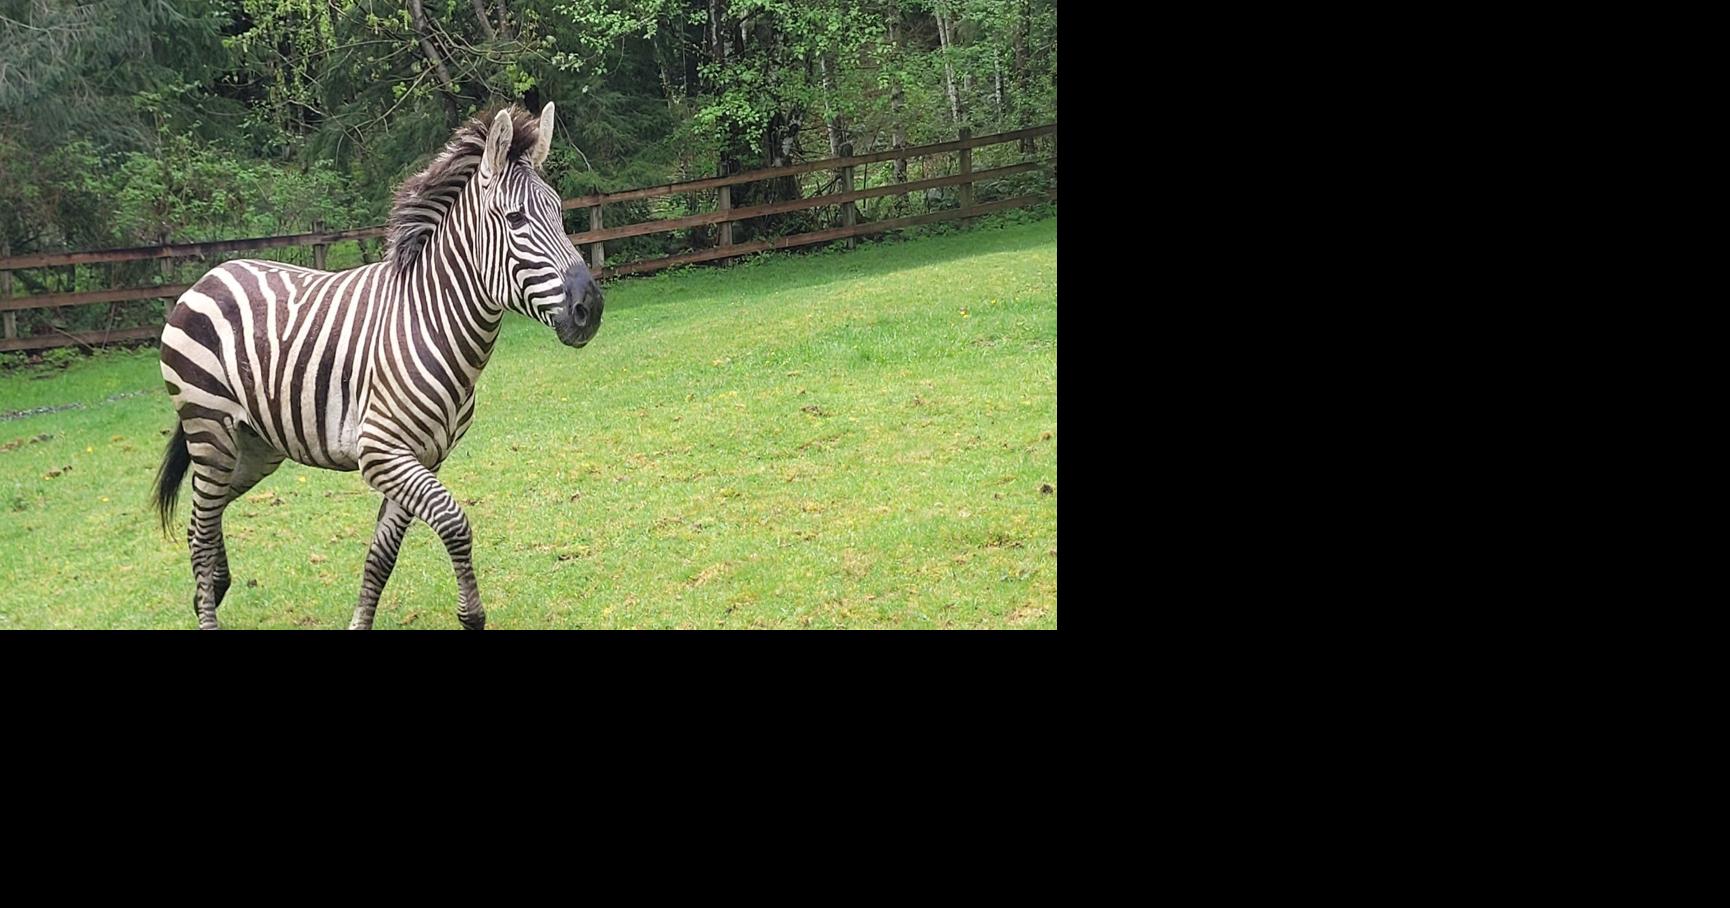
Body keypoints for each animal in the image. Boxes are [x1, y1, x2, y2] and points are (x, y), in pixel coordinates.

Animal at [151, 102, 603, 630]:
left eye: (559, 211)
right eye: (515, 219)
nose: (590, 308)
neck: (431, 322)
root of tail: (208, 276)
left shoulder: (423, 456)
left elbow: (382, 555)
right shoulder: (381, 451)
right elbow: (454, 520)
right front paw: (471, 615)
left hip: (255, 445)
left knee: (202, 516)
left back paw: (215, 585)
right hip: (210, 429)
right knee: (202, 527)